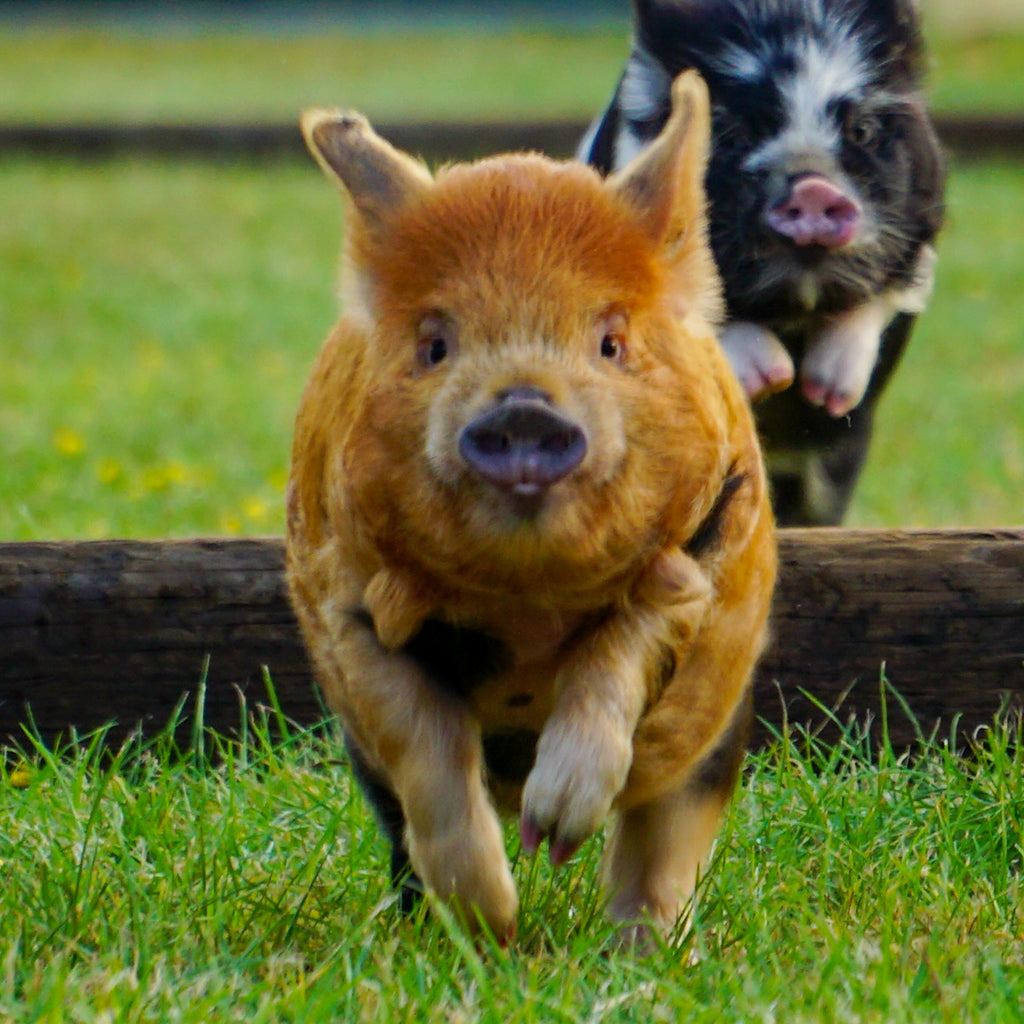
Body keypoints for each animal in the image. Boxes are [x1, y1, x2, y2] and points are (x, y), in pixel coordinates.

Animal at [286, 72, 776, 945]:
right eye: (435, 346)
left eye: (611, 342)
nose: (524, 407)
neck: (526, 602)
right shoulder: (350, 609)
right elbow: (426, 744)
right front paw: (493, 920)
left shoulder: (700, 555)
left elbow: (617, 652)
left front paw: (556, 833)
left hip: (720, 734)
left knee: (664, 845)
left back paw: (642, 949)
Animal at [580, 0, 946, 525]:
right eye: (731, 131)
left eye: (861, 130)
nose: (813, 188)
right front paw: (771, 377)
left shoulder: (921, 235)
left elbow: (878, 300)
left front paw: (827, 393)